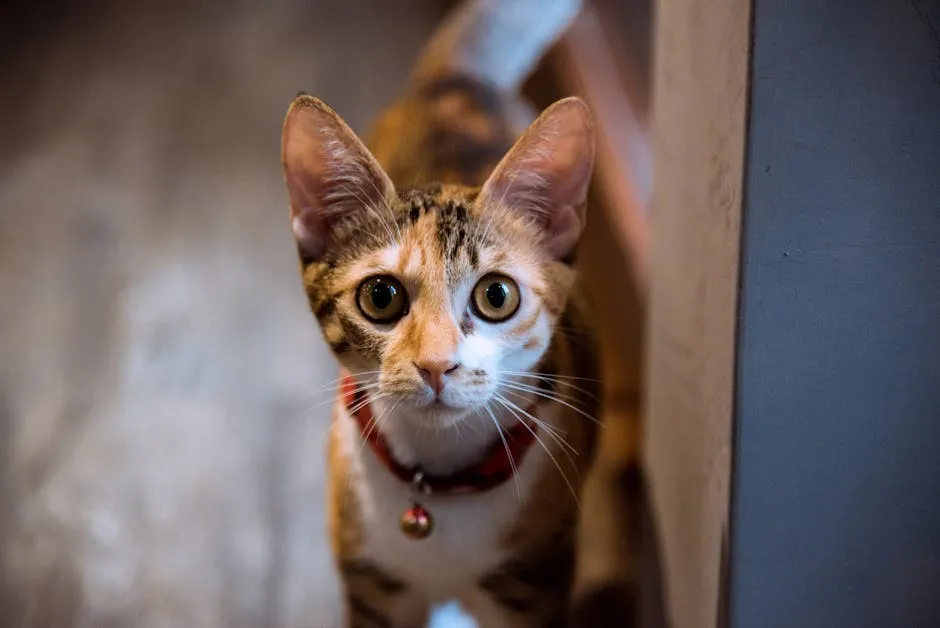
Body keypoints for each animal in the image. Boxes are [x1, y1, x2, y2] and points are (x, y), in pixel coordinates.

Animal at [280, 1, 604, 628]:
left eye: (496, 296)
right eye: (381, 298)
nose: (436, 364)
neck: (439, 484)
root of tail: (456, 82)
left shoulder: (533, 586)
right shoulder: (372, 586)